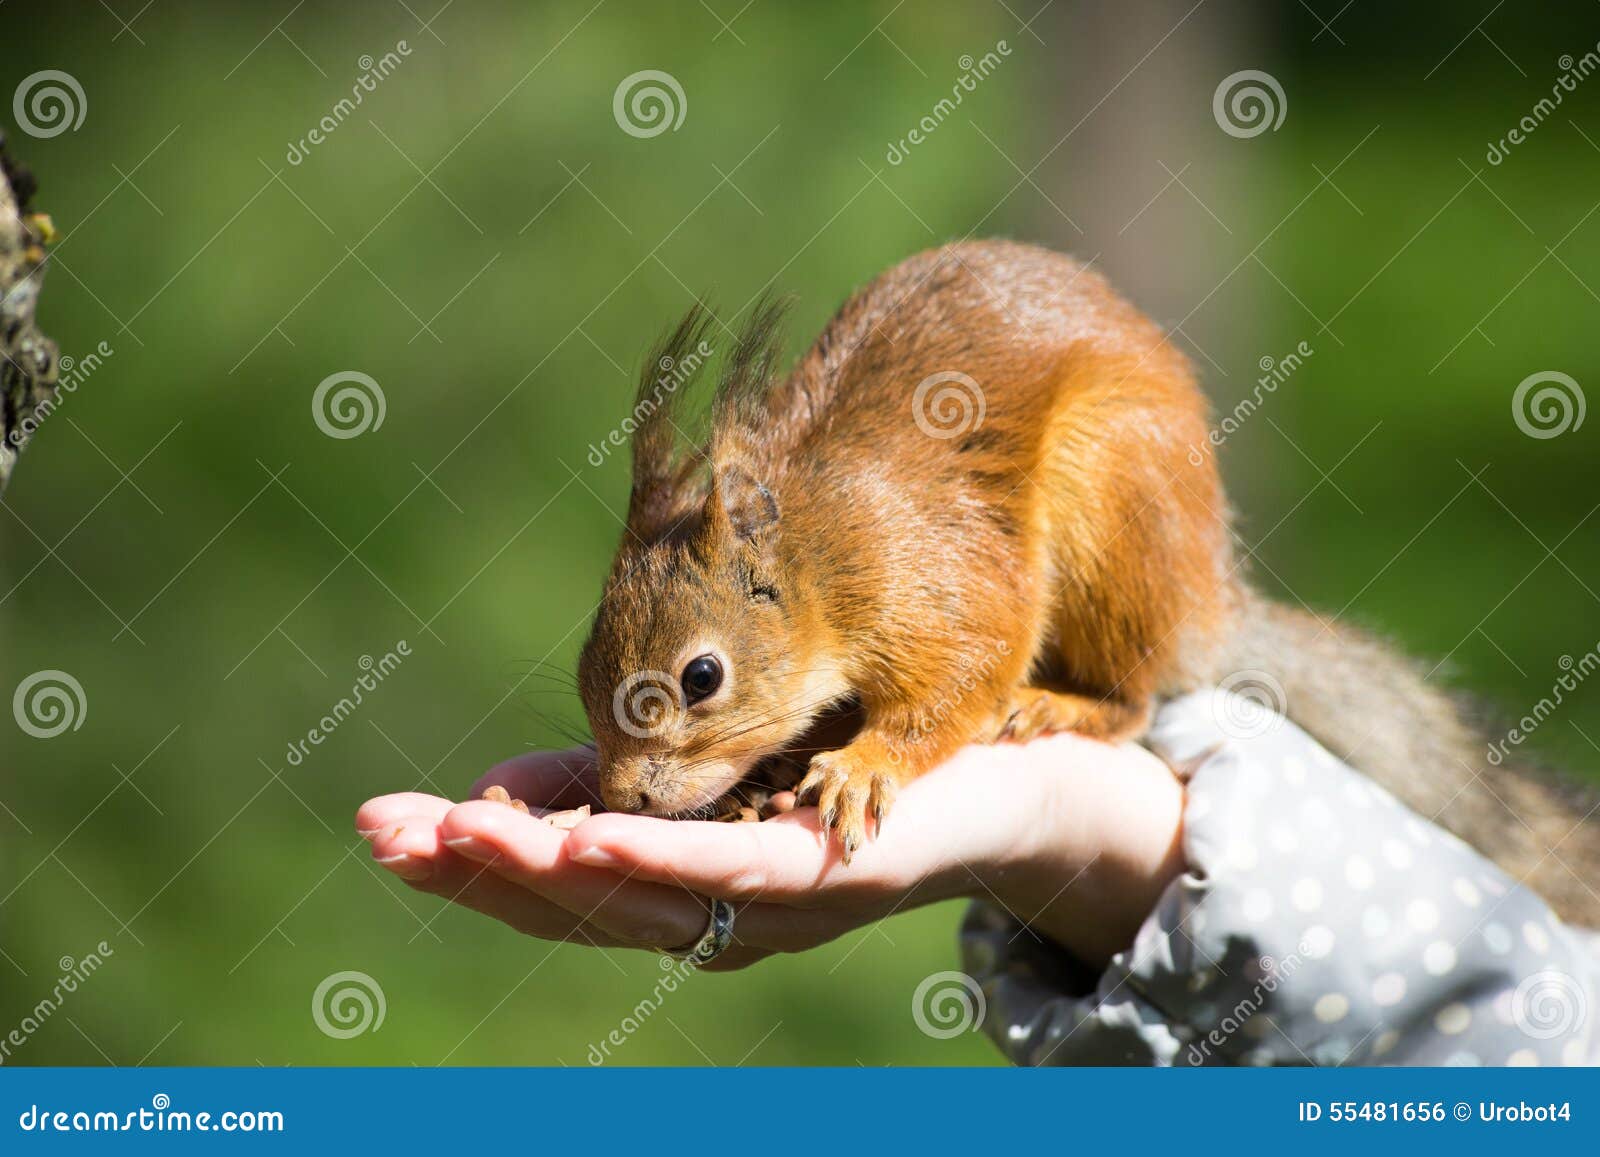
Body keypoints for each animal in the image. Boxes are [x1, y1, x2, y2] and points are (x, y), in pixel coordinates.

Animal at [575, 239, 1599, 922]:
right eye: (586, 665)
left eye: (702, 676)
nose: (624, 797)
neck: (825, 557)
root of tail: (1210, 604)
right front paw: (765, 777)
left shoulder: (944, 585)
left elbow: (966, 672)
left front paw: (863, 766)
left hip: (1116, 508)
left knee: (1137, 696)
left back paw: (1061, 705)